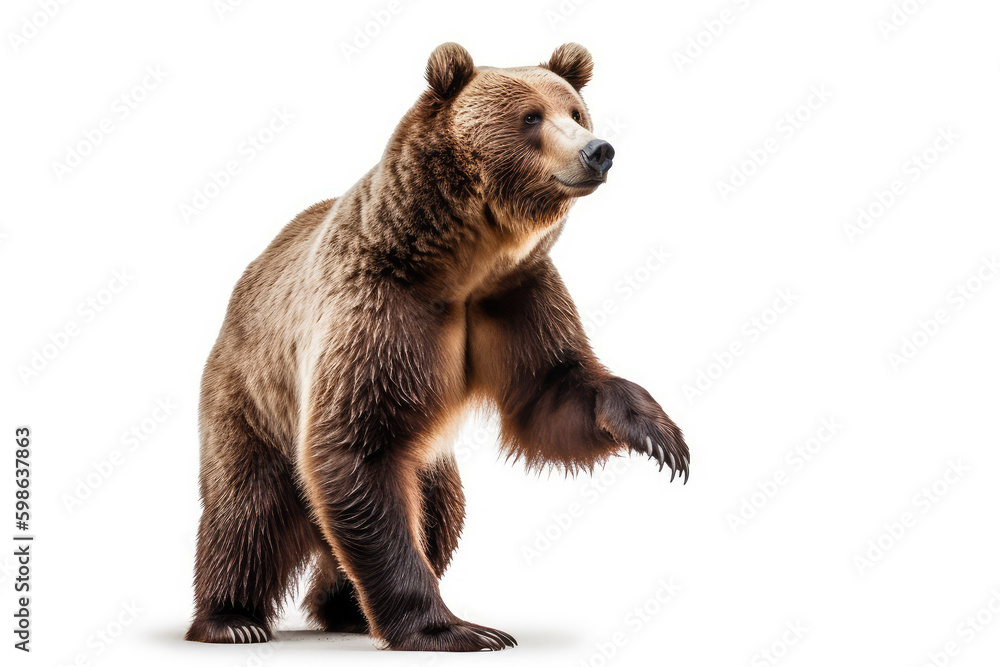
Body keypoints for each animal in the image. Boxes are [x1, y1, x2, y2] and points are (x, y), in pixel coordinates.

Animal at [185, 42, 689, 652]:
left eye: (575, 111)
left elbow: (552, 391)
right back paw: (232, 619)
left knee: (440, 512)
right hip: (251, 397)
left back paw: (345, 607)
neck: (461, 263)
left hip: (430, 464)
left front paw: (659, 435)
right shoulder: (381, 307)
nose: (599, 150)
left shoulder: (515, 297)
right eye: (531, 117)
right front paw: (453, 628)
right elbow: (356, 447)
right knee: (246, 512)